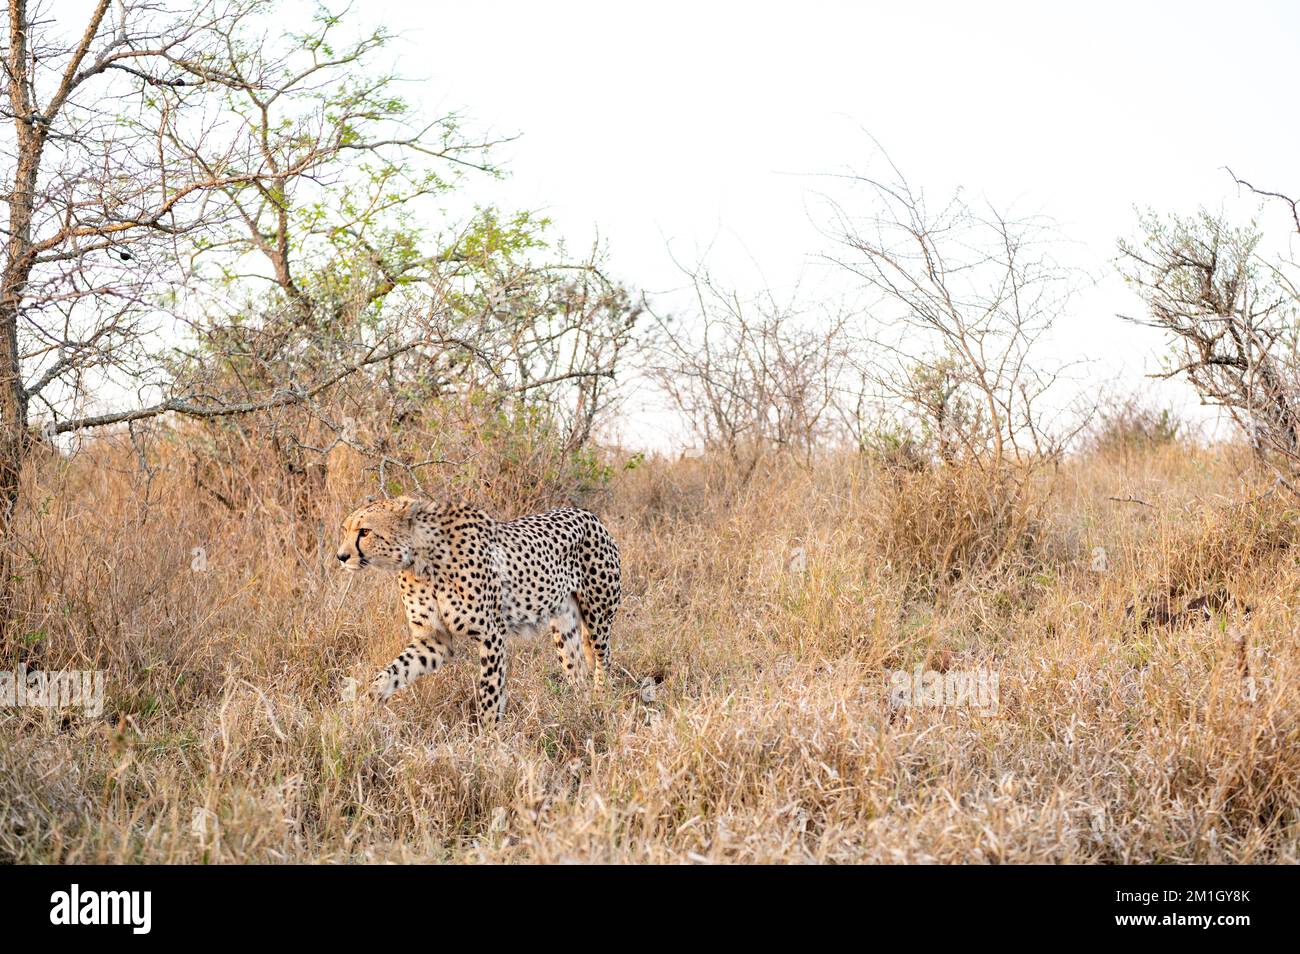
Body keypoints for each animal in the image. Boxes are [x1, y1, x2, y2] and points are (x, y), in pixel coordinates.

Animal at [336, 496, 621, 725]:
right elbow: (391, 674)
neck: (420, 559)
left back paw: (601, 706)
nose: (341, 556)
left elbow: (490, 692)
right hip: (564, 628)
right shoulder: (434, 639)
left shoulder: (491, 634)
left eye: (364, 531)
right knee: (578, 672)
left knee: (602, 664)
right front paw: (363, 708)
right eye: (345, 530)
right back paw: (582, 709)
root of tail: (587, 513)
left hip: (598, 618)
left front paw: (489, 739)